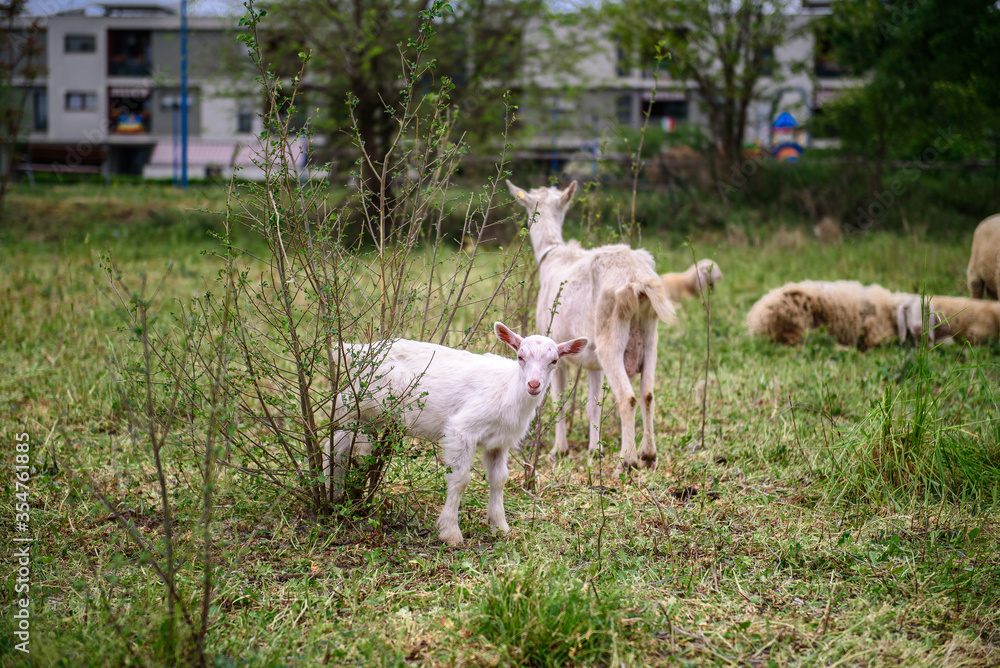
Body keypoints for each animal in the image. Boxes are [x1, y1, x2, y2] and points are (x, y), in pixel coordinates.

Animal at [327, 322, 587, 545]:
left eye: (554, 361)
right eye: (520, 357)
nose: (534, 385)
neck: (508, 389)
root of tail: (354, 350)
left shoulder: (499, 442)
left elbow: (499, 479)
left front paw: (500, 526)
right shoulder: (461, 430)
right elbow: (460, 479)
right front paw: (450, 532)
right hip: (352, 408)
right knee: (335, 446)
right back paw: (333, 493)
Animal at [506, 180, 677, 472]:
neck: (554, 255)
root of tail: (638, 279)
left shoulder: (556, 349)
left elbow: (559, 402)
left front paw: (559, 450)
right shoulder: (593, 362)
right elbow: (592, 405)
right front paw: (594, 450)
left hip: (611, 335)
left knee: (627, 397)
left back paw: (626, 461)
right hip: (650, 335)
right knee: (647, 393)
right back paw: (648, 455)